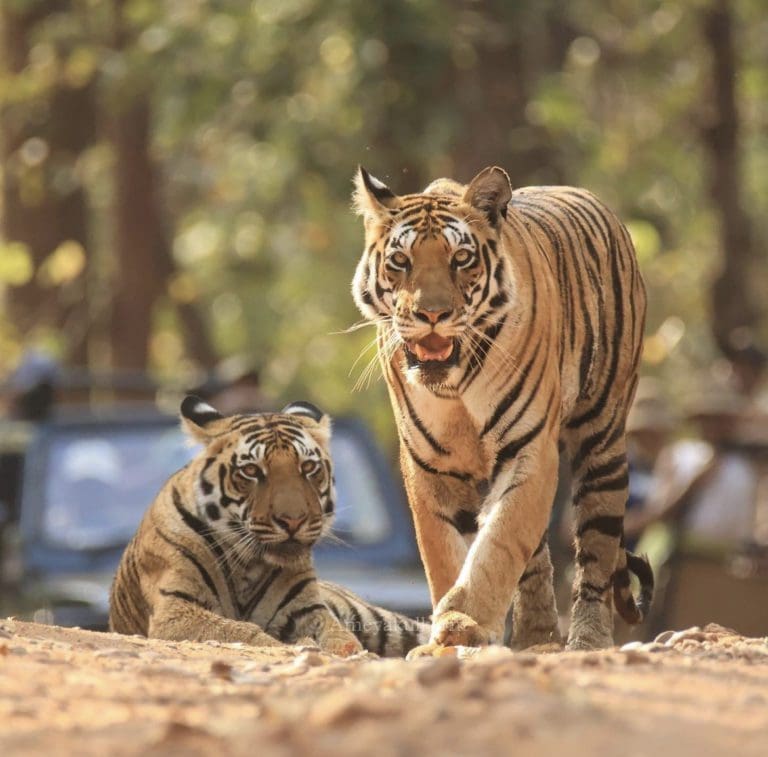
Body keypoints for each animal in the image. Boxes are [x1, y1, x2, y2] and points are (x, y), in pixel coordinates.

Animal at [109, 396, 429, 658]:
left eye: (308, 467)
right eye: (251, 470)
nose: (293, 520)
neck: (246, 566)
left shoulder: (308, 608)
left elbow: (338, 635)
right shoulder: (175, 611)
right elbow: (241, 631)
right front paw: (299, 647)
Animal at [351, 165, 654, 655]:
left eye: (460, 259)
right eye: (400, 261)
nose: (431, 314)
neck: (453, 387)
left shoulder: (528, 450)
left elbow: (500, 541)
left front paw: (464, 621)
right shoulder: (429, 463)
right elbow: (446, 551)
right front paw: (446, 630)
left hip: (603, 439)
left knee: (596, 553)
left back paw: (586, 639)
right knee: (537, 562)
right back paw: (535, 638)